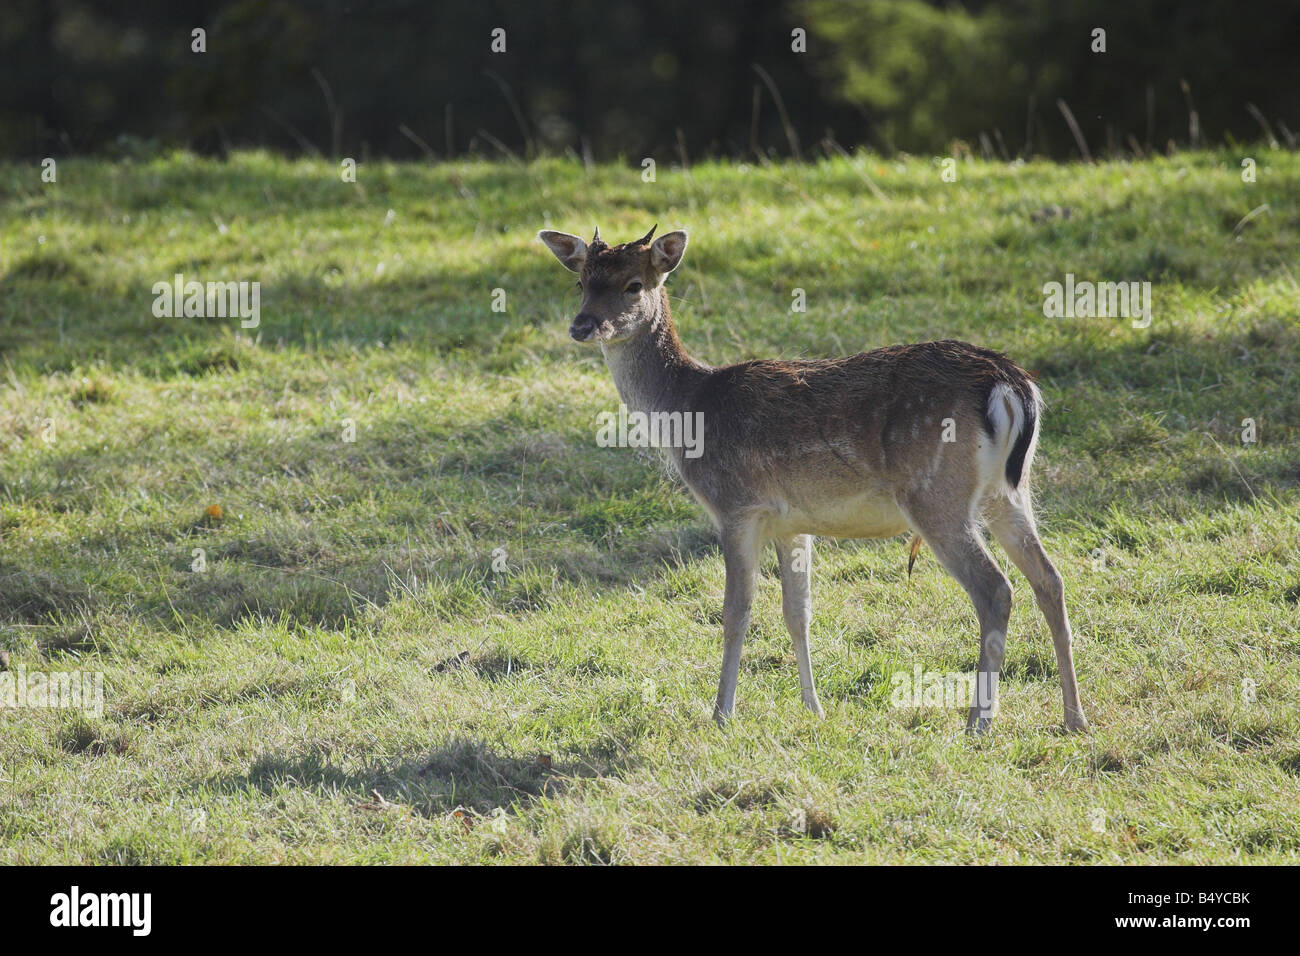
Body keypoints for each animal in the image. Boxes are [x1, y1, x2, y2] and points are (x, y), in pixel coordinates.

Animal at [538, 224, 1087, 734]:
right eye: (582, 281)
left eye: (633, 284)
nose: (582, 325)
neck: (690, 411)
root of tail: (1012, 384)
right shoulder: (793, 523)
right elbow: (797, 612)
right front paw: (813, 708)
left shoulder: (738, 506)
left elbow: (736, 612)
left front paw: (721, 714)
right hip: (1009, 491)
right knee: (1050, 578)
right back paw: (1074, 717)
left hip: (936, 494)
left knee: (996, 590)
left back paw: (977, 721)